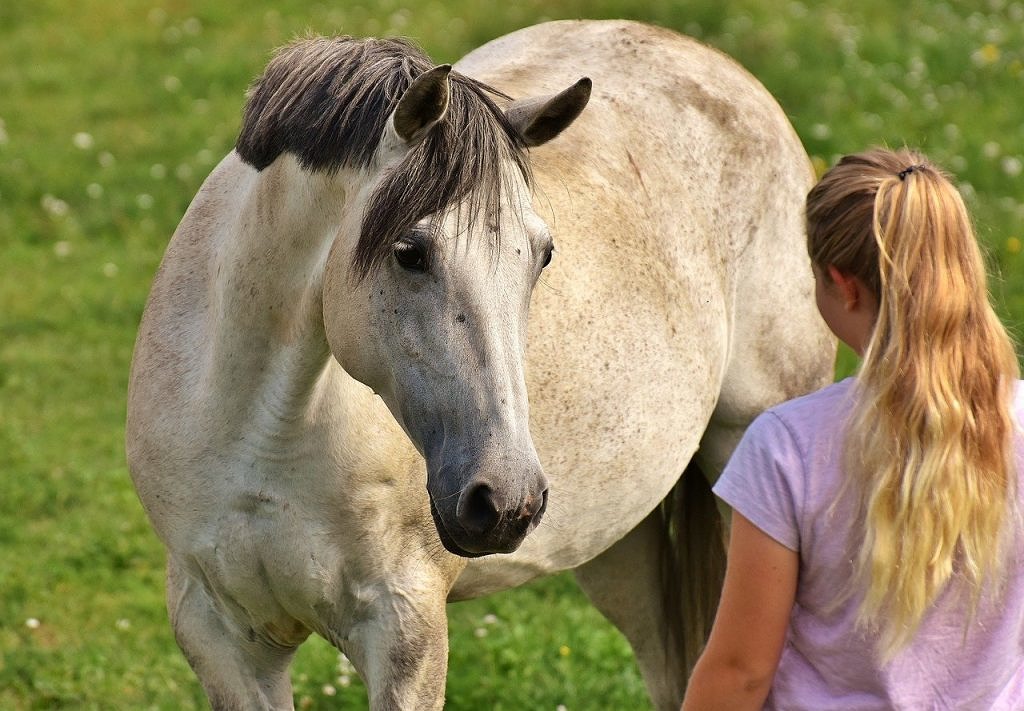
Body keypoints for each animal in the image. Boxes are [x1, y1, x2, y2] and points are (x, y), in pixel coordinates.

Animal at [126, 19, 834, 710]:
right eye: (410, 252)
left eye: (543, 255)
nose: (506, 501)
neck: (265, 432)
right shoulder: (220, 635)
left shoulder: (406, 629)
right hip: (618, 543)